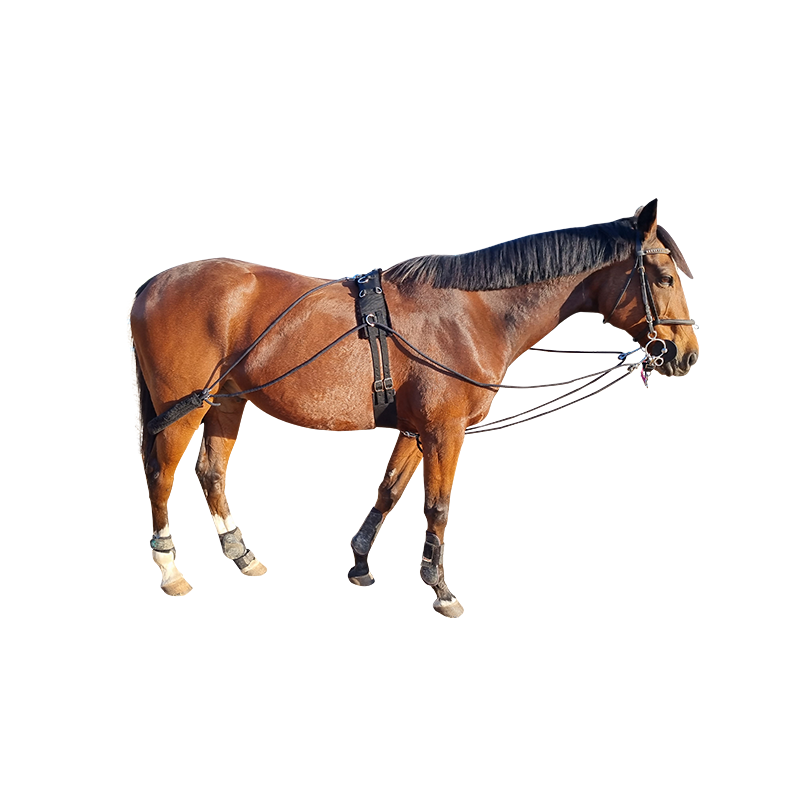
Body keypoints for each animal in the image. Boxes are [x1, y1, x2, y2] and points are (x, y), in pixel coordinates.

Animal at [129, 199, 699, 616]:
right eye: (665, 278)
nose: (686, 352)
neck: (473, 314)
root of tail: (152, 285)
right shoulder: (445, 432)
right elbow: (438, 505)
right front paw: (438, 585)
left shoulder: (414, 430)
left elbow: (389, 489)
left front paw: (360, 561)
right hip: (184, 409)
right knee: (163, 475)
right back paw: (172, 571)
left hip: (222, 404)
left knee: (211, 473)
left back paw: (239, 554)